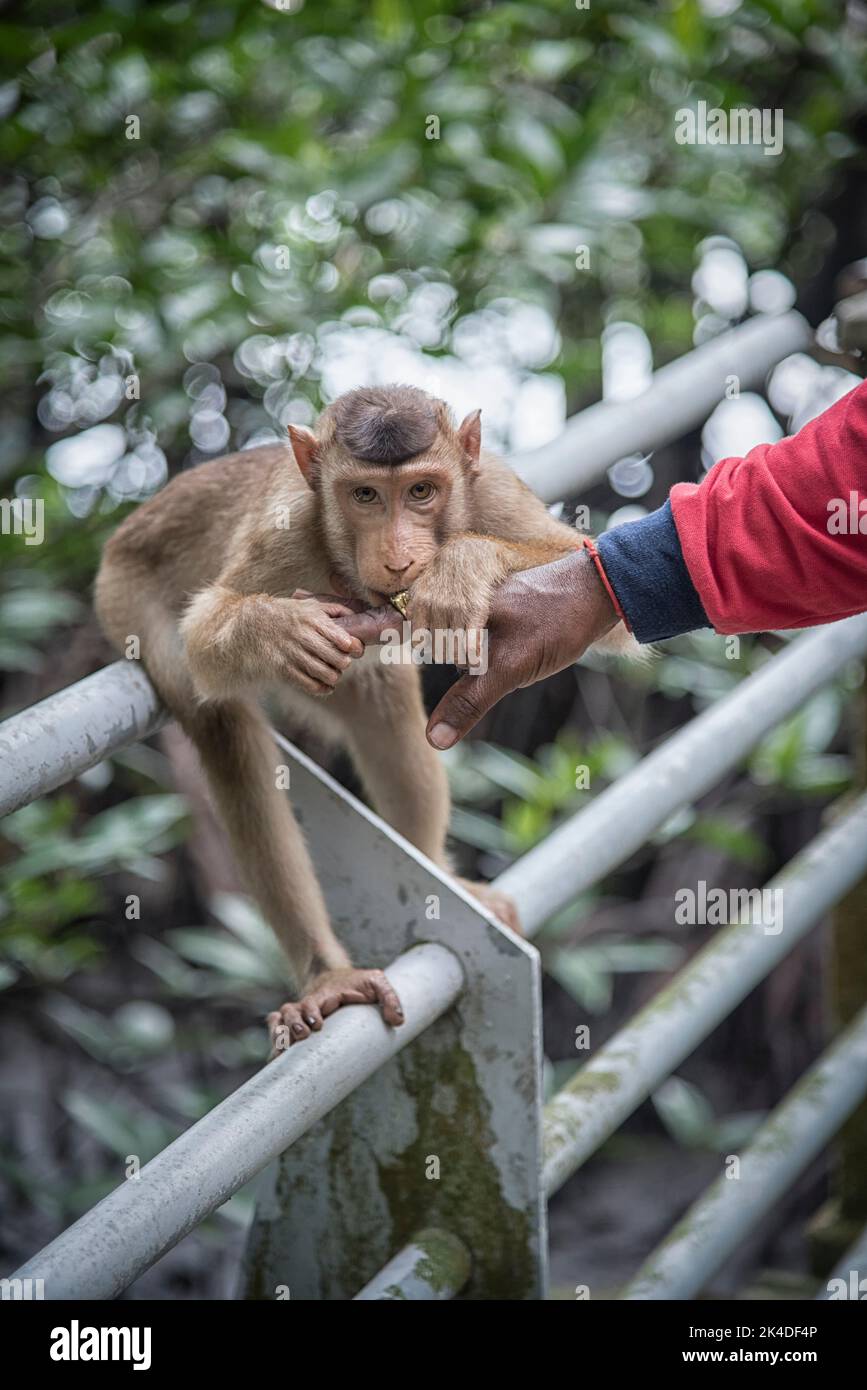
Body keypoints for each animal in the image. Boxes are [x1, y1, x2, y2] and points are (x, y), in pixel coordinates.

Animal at [94, 384, 634, 1051]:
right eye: (366, 496)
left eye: (421, 491)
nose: (400, 560)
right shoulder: (284, 527)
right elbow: (203, 629)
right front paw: (279, 631)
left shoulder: (495, 492)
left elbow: (598, 598)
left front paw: (462, 567)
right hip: (123, 593)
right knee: (219, 722)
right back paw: (328, 976)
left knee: (384, 706)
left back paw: (437, 878)